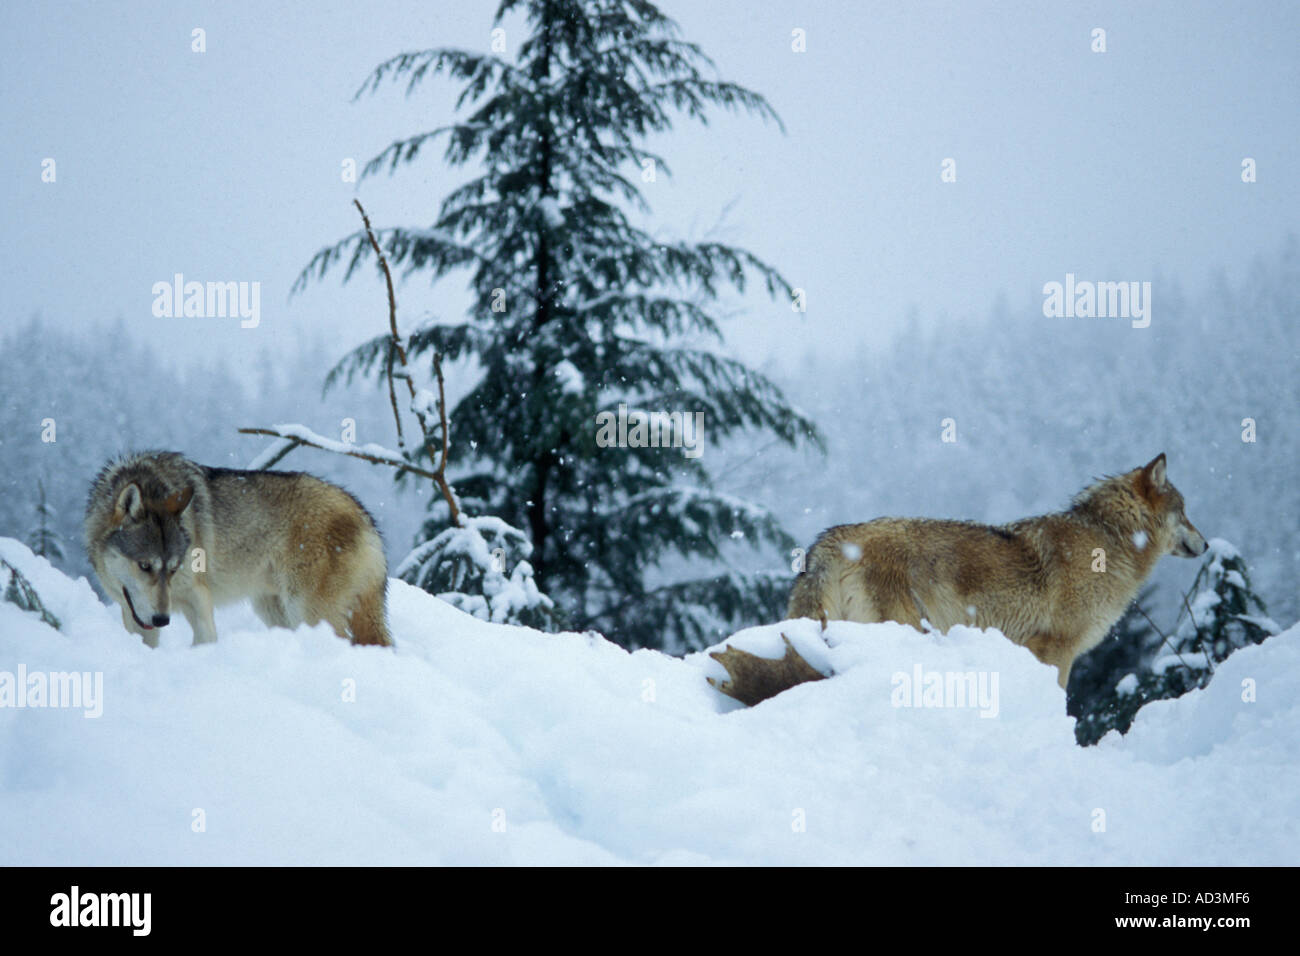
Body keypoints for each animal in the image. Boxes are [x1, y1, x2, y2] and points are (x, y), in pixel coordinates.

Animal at [84, 451, 391, 648]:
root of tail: (366, 518)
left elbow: (205, 639)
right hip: (275, 610)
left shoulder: (198, 597)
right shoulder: (135, 614)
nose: (162, 620)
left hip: (305, 611)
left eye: (173, 568)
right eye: (145, 566)